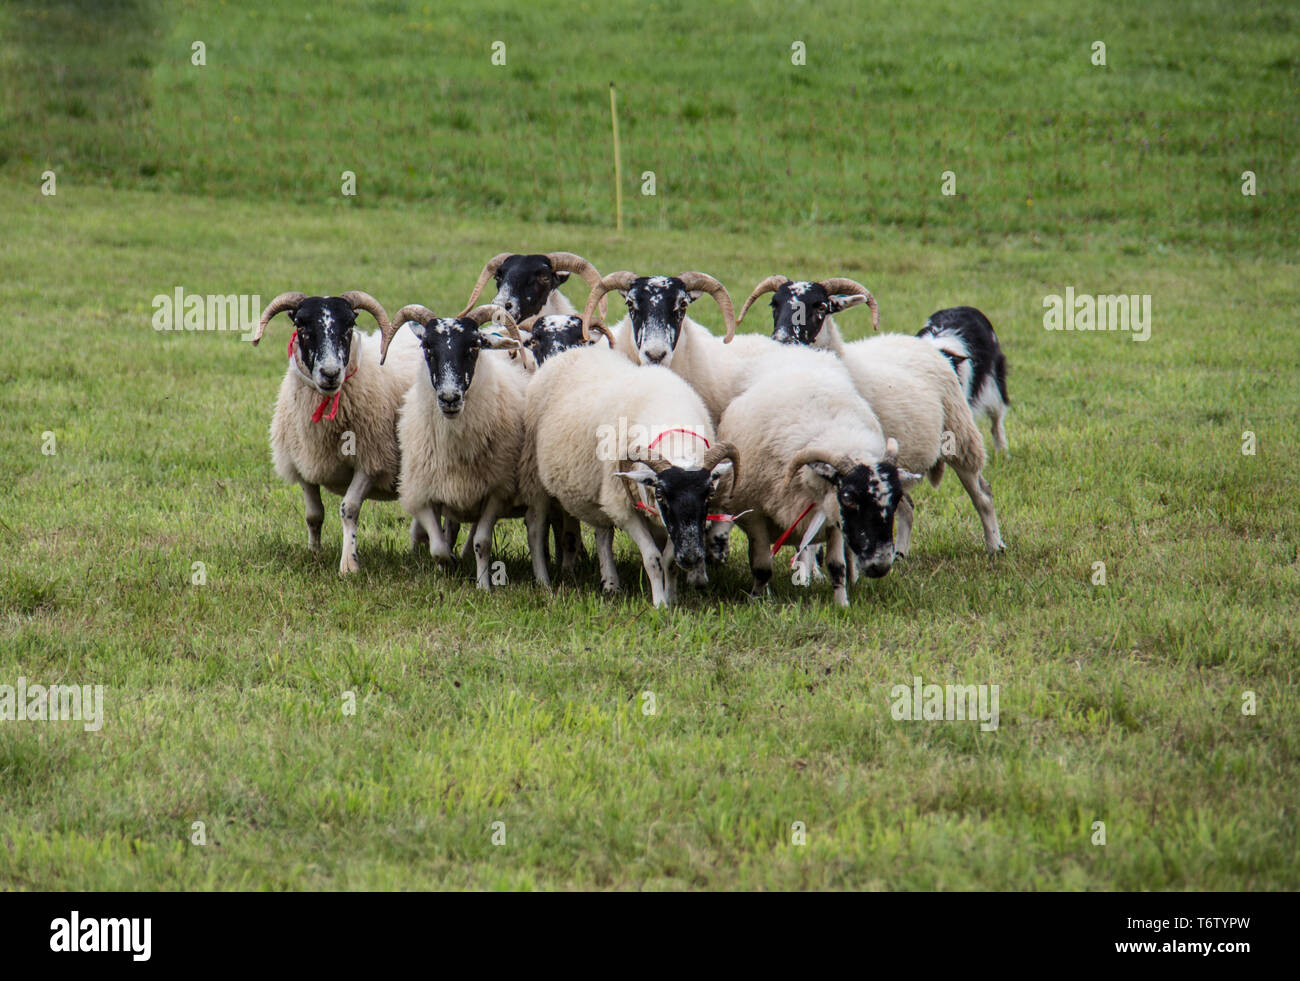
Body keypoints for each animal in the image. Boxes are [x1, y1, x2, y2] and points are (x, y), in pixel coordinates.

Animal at [254, 290, 421, 575]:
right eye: (301, 326)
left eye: (350, 326)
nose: (330, 373)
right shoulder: (303, 464)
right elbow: (314, 514)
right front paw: (314, 553)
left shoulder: (371, 461)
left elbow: (349, 509)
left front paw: (349, 564)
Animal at [385, 302, 549, 590]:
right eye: (427, 347)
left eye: (474, 346)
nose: (450, 398)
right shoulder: (423, 492)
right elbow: (438, 546)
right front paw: (447, 566)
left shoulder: (498, 490)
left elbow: (482, 542)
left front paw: (483, 586)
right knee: (452, 529)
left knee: (534, 532)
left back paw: (544, 583)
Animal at [524, 345, 738, 607]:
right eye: (660, 494)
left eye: (709, 494)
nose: (690, 558)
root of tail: (574, 350)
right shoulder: (626, 508)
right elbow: (653, 559)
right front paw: (659, 604)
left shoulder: (670, 522)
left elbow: (669, 561)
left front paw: (672, 598)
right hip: (536, 479)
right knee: (535, 529)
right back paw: (543, 582)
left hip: (600, 490)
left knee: (602, 534)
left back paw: (611, 584)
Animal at [715, 344, 921, 606]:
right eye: (849, 498)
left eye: (895, 500)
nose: (881, 567)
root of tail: (797, 349)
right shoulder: (754, 515)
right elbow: (762, 567)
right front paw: (759, 601)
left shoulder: (831, 516)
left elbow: (837, 566)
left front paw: (842, 604)